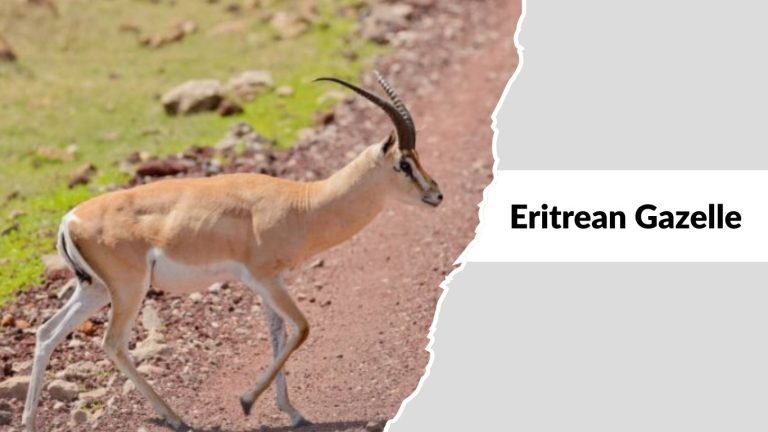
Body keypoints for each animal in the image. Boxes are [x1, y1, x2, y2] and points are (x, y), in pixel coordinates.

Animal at [22, 73, 442, 431]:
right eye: (404, 163)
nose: (436, 194)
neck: (302, 204)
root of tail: (70, 218)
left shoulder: (269, 283)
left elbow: (278, 335)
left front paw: (292, 412)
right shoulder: (265, 279)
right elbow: (302, 328)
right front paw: (246, 401)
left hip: (93, 290)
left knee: (47, 333)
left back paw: (29, 421)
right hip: (129, 290)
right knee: (114, 344)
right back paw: (177, 419)